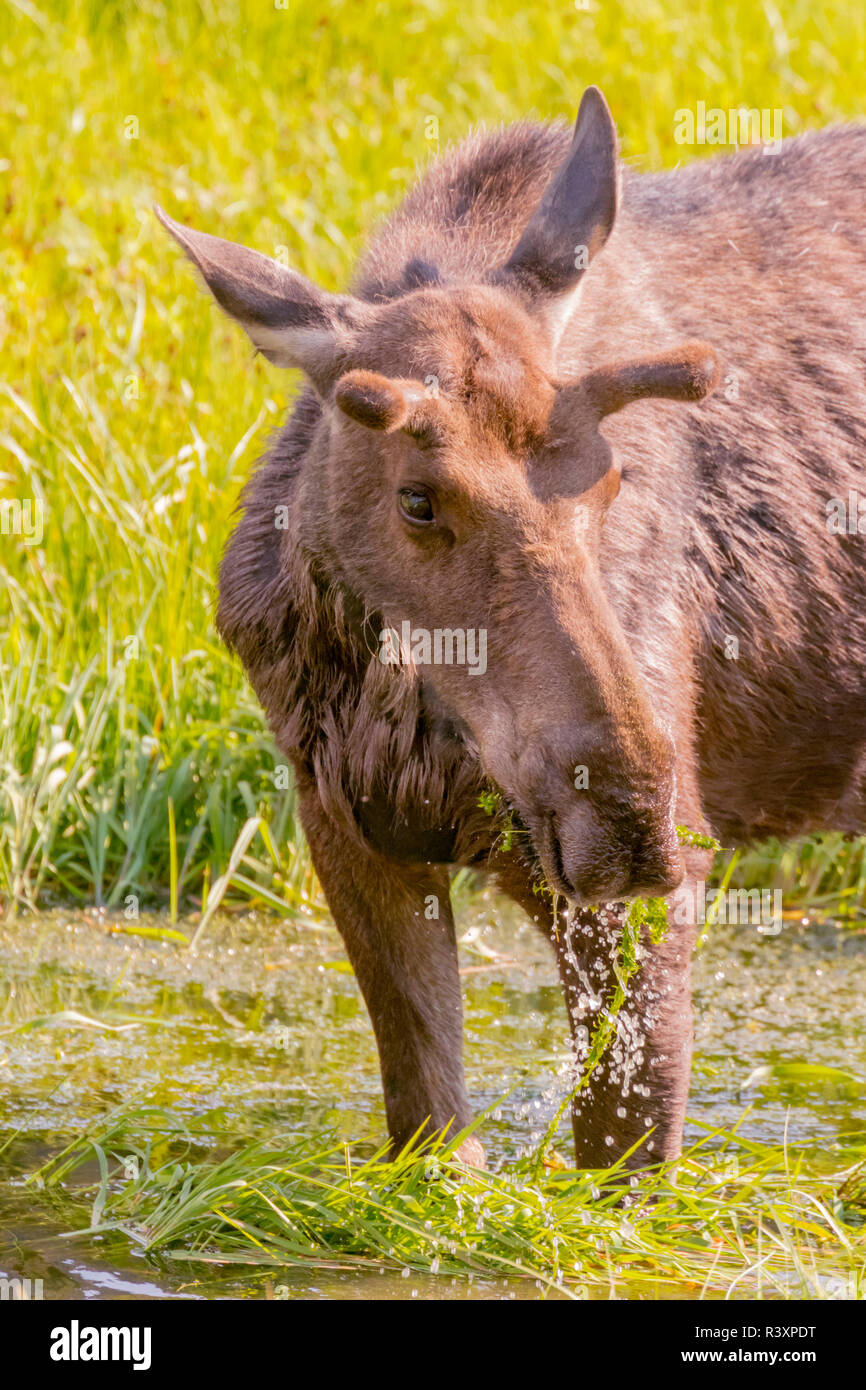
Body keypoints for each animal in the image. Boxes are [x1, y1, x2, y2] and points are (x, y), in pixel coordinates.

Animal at [157, 86, 866, 1169]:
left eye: (613, 477)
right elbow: (428, 1127)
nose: (626, 808)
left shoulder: (650, 888)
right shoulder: (342, 813)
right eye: (416, 499)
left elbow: (625, 1158)